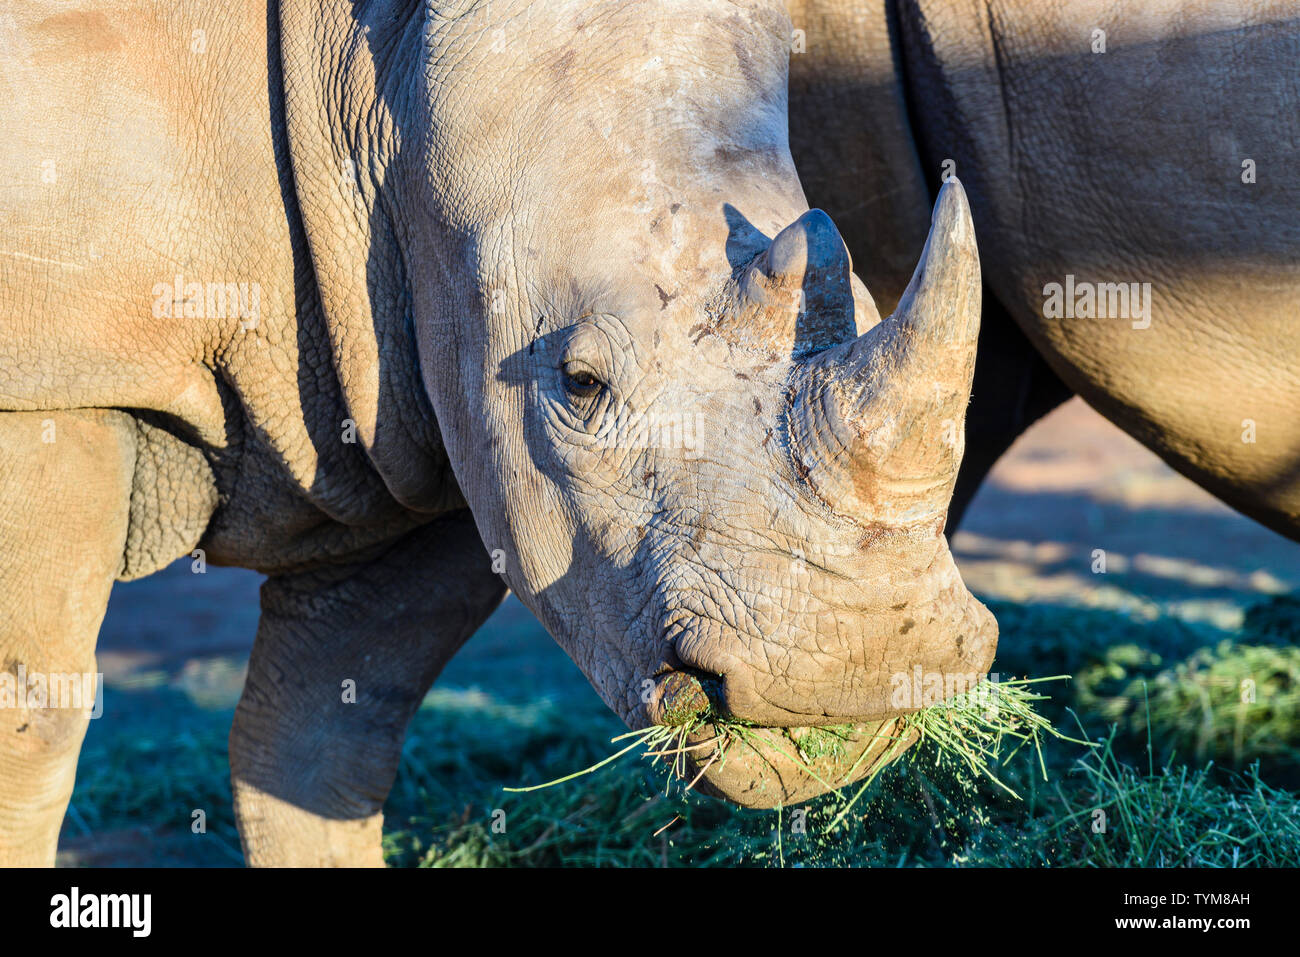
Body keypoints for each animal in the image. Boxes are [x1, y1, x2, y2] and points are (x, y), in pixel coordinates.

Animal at [0, 0, 1293, 868]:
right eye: (576, 384)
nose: (847, 679)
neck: (363, 84)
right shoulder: (47, 388)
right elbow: (30, 734)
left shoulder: (433, 384)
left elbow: (325, 731)